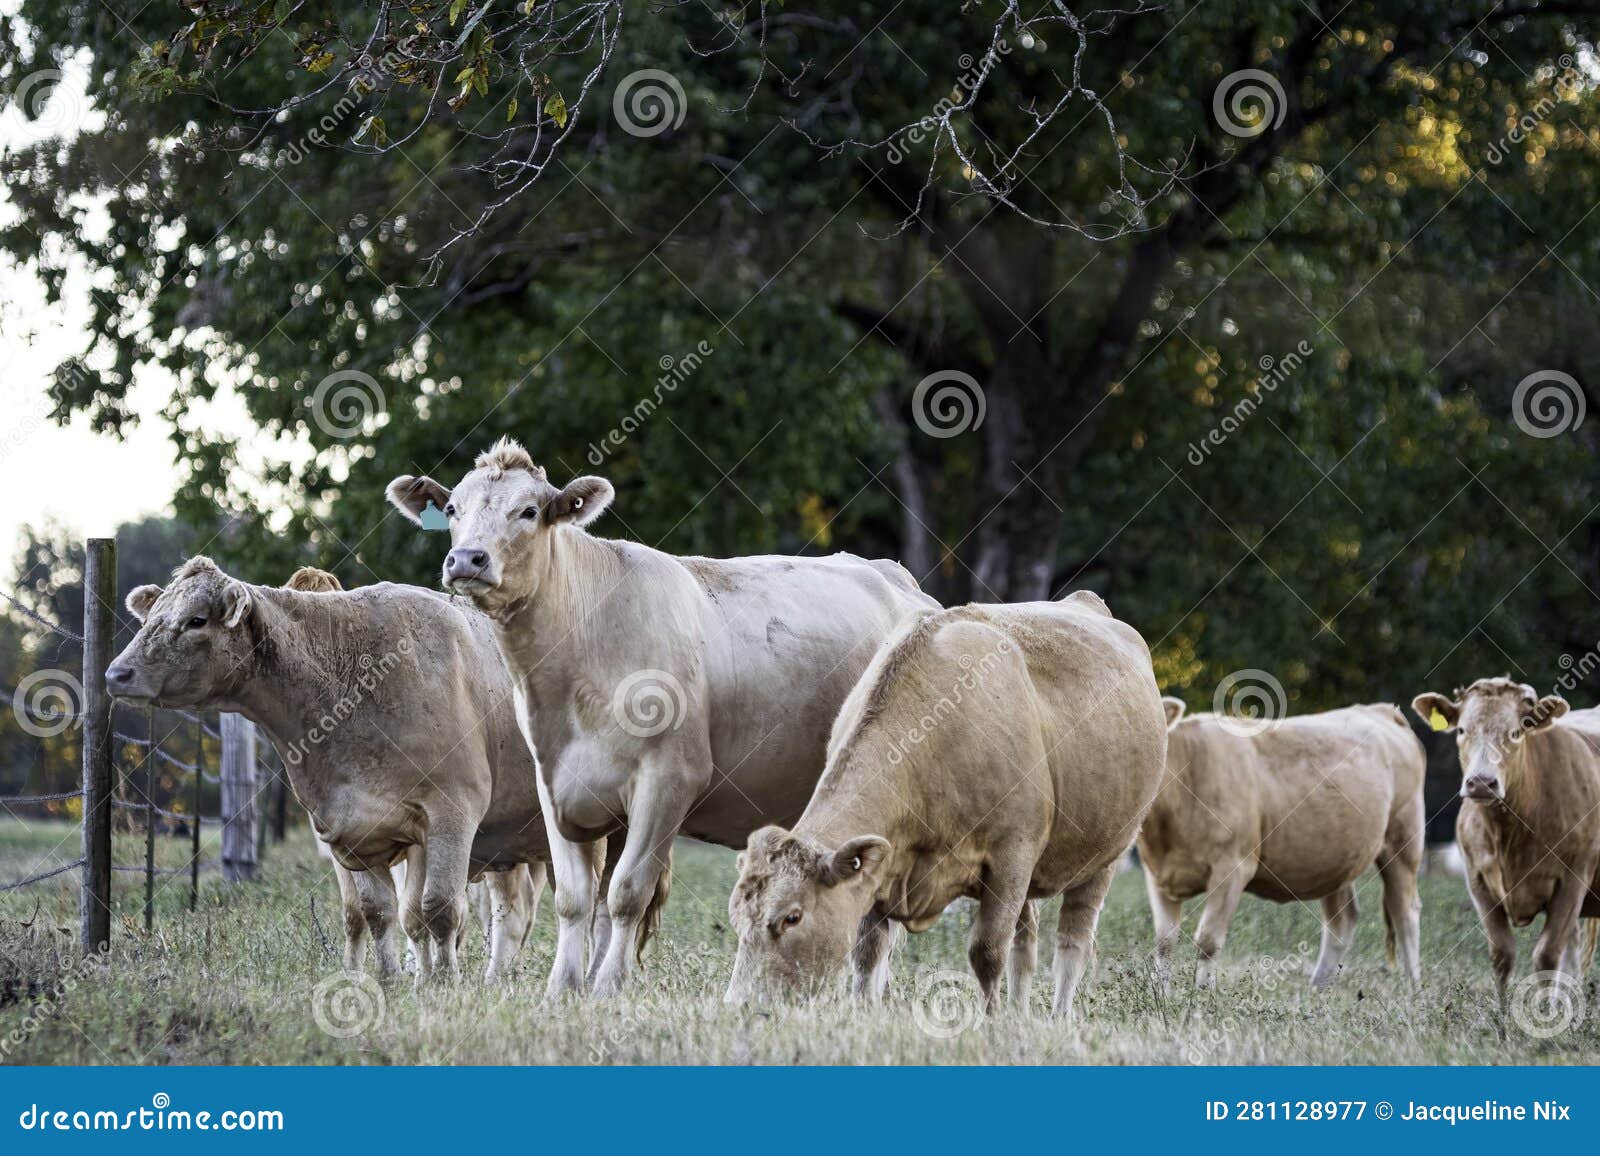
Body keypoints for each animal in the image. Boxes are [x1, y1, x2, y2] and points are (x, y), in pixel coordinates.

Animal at [103, 555, 665, 982]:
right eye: (150, 616)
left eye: (197, 620)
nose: (116, 673)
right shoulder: (353, 829)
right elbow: (379, 912)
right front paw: (391, 981)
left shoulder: (451, 814)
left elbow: (438, 908)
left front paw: (443, 983)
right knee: (517, 910)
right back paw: (500, 978)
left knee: (598, 905)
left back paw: (591, 976)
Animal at [386, 436, 939, 998]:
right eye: (452, 509)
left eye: (529, 511)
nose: (466, 559)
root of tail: (898, 578)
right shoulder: (555, 785)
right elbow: (574, 900)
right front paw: (562, 988)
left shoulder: (669, 779)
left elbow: (627, 893)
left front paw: (608, 986)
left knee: (875, 926)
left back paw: (863, 995)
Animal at [722, 592, 1167, 1023]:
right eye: (737, 918)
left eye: (791, 917)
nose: (739, 1006)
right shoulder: (881, 866)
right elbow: (867, 952)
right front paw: (863, 1015)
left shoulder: (1011, 856)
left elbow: (987, 952)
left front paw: (989, 1024)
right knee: (1026, 943)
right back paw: (1020, 1014)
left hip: (1106, 854)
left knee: (1073, 942)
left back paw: (1057, 1016)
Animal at [1139, 699, 1425, 991]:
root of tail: (1379, 710)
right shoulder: (1156, 873)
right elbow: (1164, 943)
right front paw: (1162, 994)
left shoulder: (1233, 868)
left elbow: (1208, 941)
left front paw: (1201, 996)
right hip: (1337, 858)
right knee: (1342, 919)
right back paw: (1317, 987)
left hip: (1403, 838)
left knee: (1405, 911)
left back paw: (1412, 987)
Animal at [1411, 679, 1600, 1002]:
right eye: (1461, 730)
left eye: (1515, 732)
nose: (1481, 782)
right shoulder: (1477, 881)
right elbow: (1502, 955)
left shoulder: (1573, 880)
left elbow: (1546, 955)